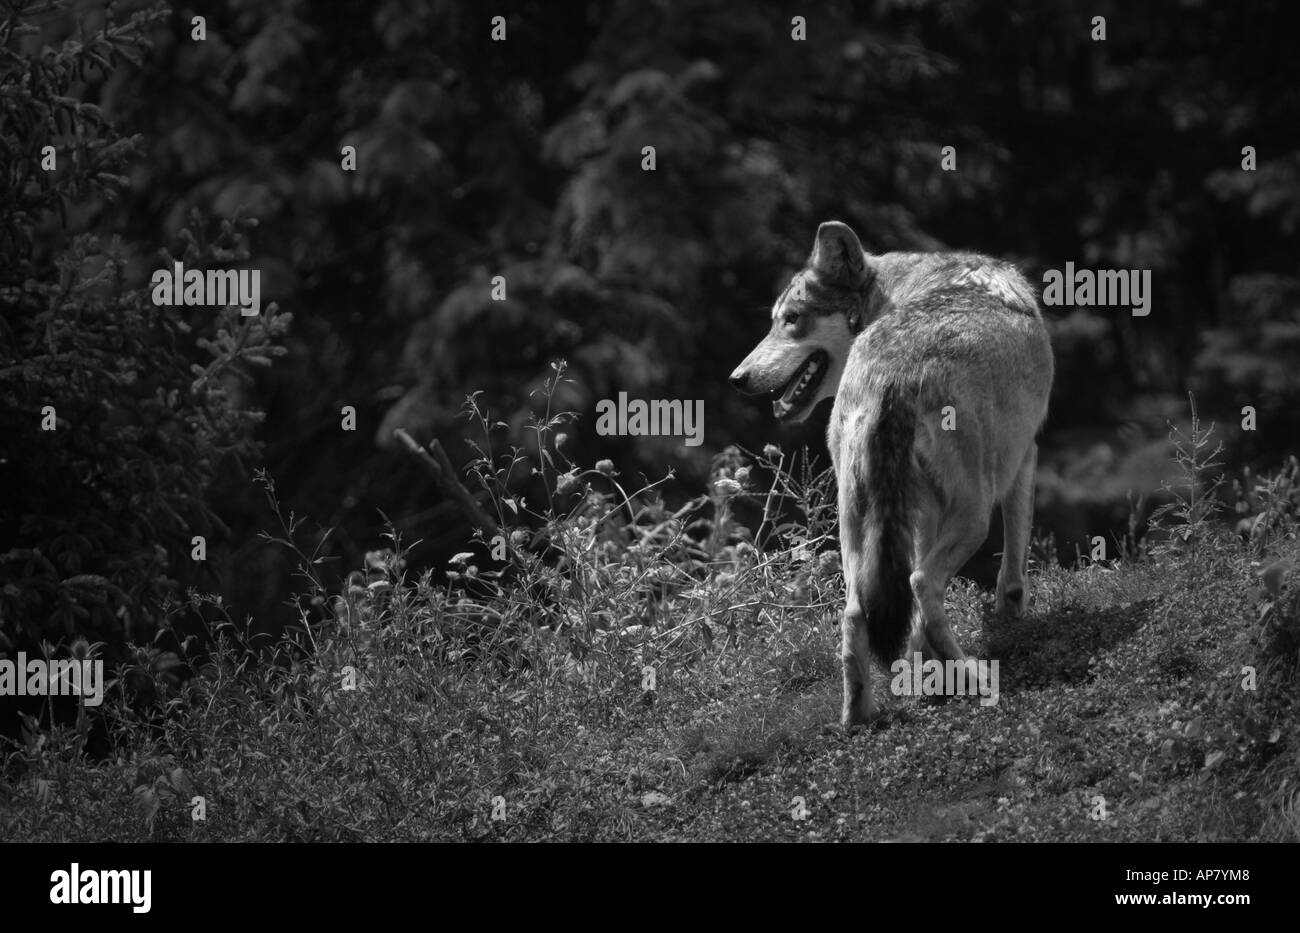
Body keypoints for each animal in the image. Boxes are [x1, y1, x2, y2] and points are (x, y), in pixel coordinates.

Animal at [730, 221, 1054, 728]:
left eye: (791, 319)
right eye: (778, 320)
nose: (737, 378)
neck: (900, 292)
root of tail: (894, 374)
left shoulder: (917, 512)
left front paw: (919, 673)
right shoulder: (1026, 456)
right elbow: (1014, 570)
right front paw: (1007, 620)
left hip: (853, 524)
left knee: (856, 611)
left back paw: (857, 717)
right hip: (975, 514)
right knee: (921, 582)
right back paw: (973, 678)